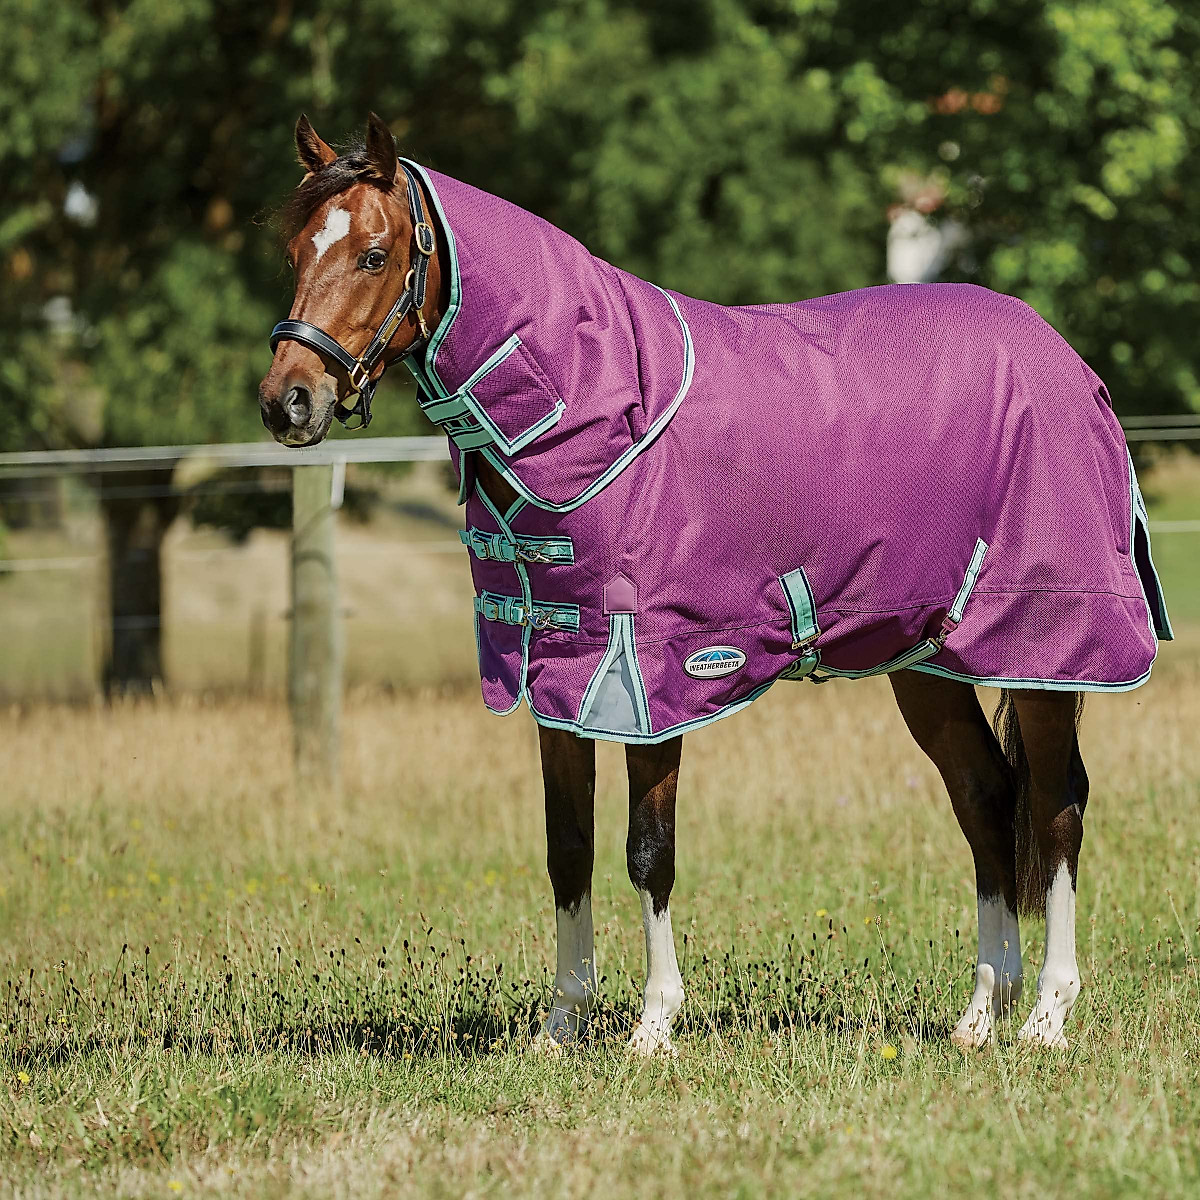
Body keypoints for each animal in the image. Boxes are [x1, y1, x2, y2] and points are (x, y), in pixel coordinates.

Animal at [259, 113, 1171, 1055]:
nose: (288, 401)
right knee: (987, 800)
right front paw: (561, 1023)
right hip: (927, 664)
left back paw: (1048, 1014)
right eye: (293, 248)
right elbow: (566, 848)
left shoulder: (649, 678)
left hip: (1047, 652)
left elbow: (647, 849)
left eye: (373, 255)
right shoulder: (558, 673)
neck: (598, 400)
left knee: (1057, 808)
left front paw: (654, 1024)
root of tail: (1069, 364)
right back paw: (981, 1011)